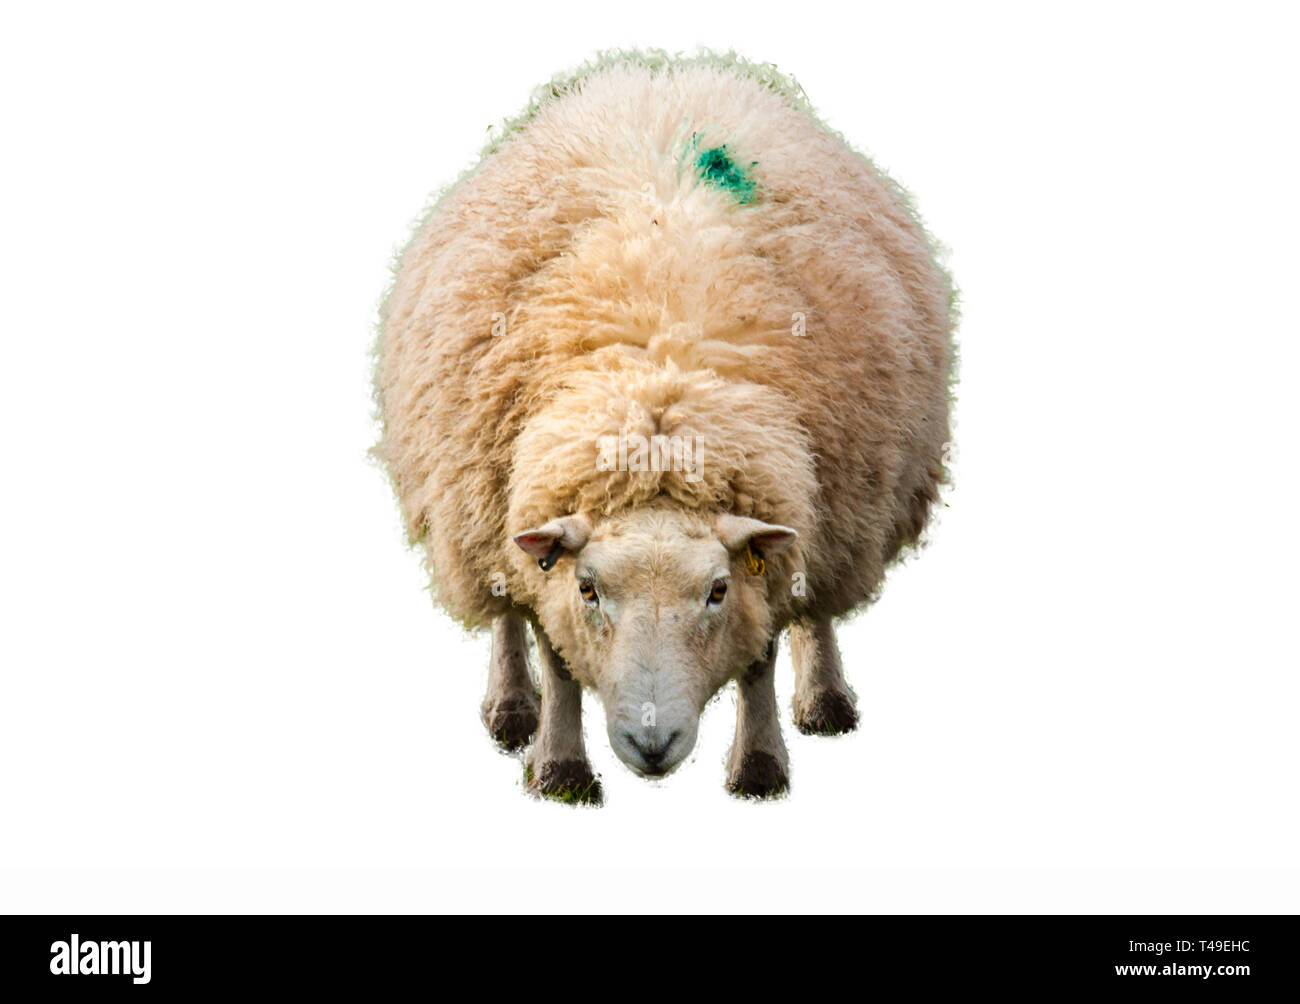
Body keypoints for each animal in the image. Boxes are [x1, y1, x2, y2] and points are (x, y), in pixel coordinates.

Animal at [373, 50, 956, 803]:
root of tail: (662, 76)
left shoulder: (772, 535)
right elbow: (556, 657)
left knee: (819, 599)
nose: (652, 745)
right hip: (473, 497)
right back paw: (511, 709)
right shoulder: (543, 536)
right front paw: (559, 768)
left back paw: (826, 700)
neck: (656, 417)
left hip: (847, 494)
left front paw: (760, 764)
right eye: (590, 589)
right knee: (499, 604)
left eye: (716, 591)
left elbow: (762, 653)